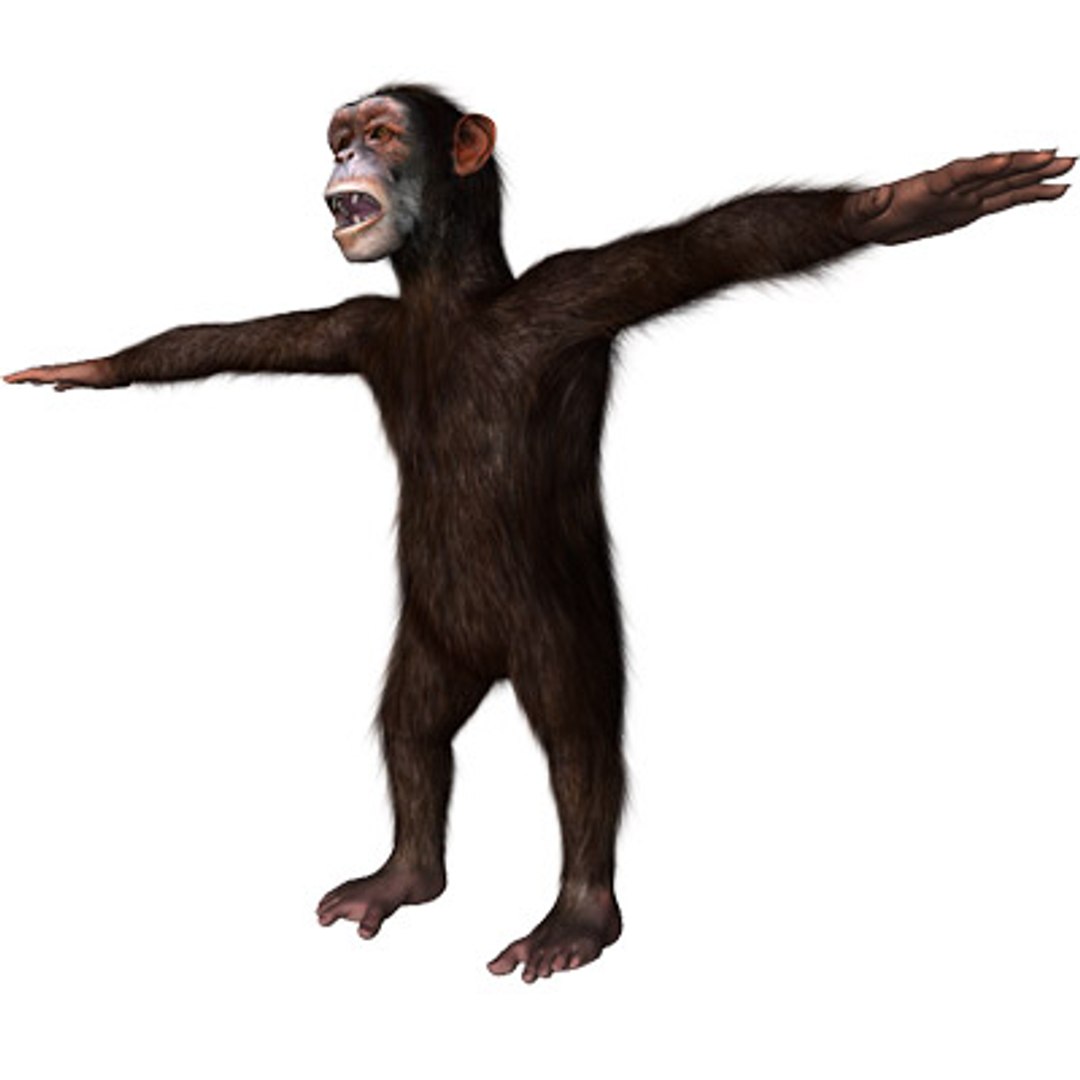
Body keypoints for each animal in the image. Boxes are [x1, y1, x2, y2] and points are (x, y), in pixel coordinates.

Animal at [5, 85, 1072, 983]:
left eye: (379, 132)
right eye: (338, 136)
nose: (344, 154)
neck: (452, 301)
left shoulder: (577, 292)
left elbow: (718, 245)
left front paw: (906, 203)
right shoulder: (356, 328)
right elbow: (237, 338)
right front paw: (90, 367)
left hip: (558, 633)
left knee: (578, 742)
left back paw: (577, 920)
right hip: (433, 642)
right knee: (412, 726)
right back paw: (407, 875)